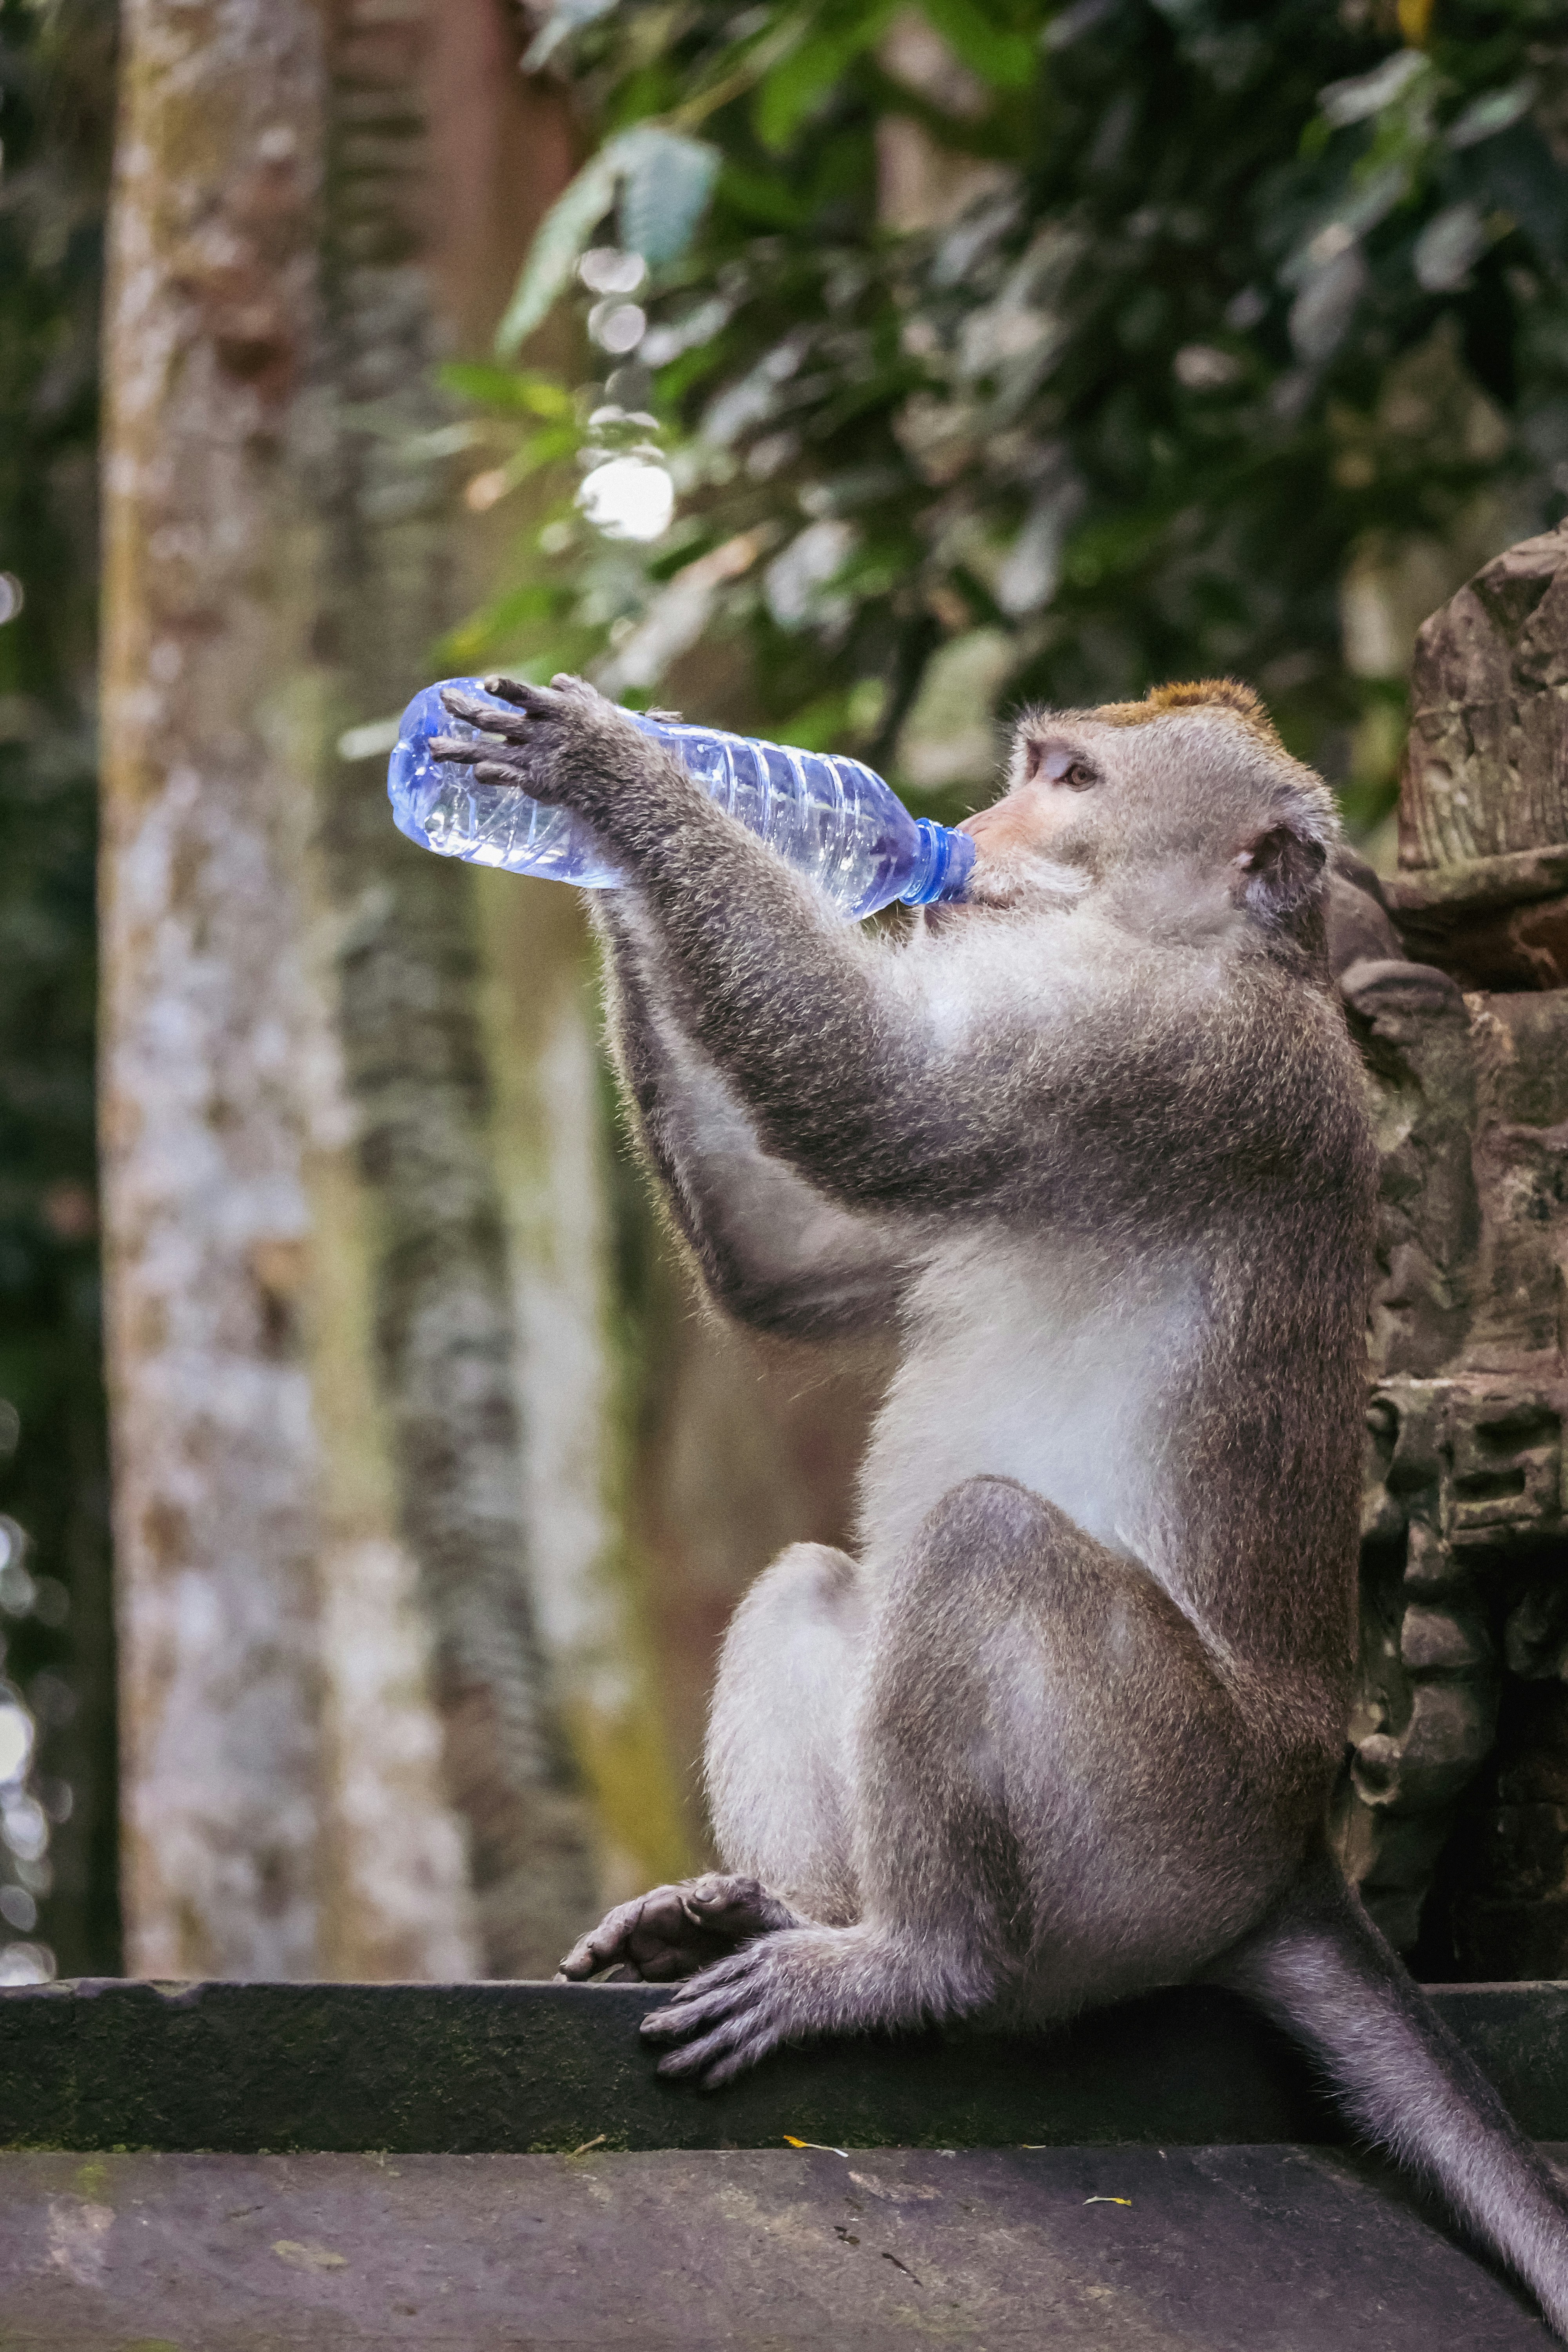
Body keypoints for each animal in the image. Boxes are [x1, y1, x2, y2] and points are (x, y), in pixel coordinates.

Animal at [435, 672, 1568, 2334]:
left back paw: (912, 1962)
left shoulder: (1157, 1056)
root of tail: (1290, 1856)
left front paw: (617, 777)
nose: (968, 828)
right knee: (808, 1582)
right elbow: (788, 1263)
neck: (1191, 944)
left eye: (1074, 781)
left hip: (1158, 1829)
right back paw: (766, 1913)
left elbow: (882, 1102)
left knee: (986, 1542)